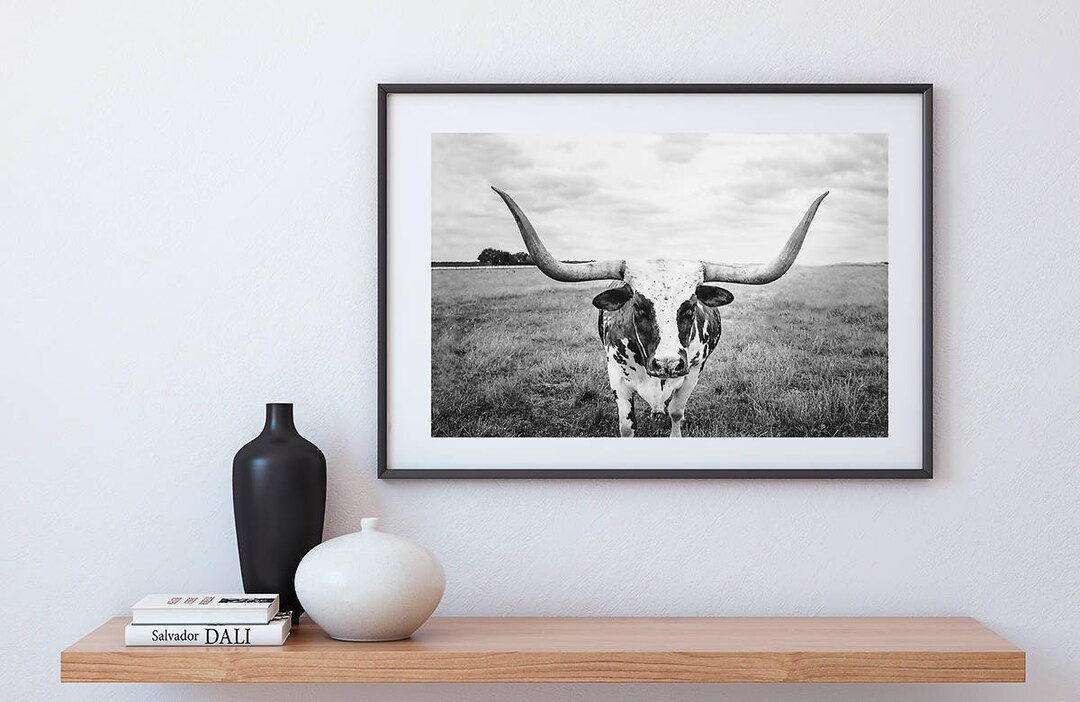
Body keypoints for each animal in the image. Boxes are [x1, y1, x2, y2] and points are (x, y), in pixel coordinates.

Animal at [491, 186, 829, 438]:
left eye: (690, 306)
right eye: (638, 305)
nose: (667, 364)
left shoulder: (692, 371)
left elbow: (677, 412)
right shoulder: (616, 376)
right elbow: (626, 426)